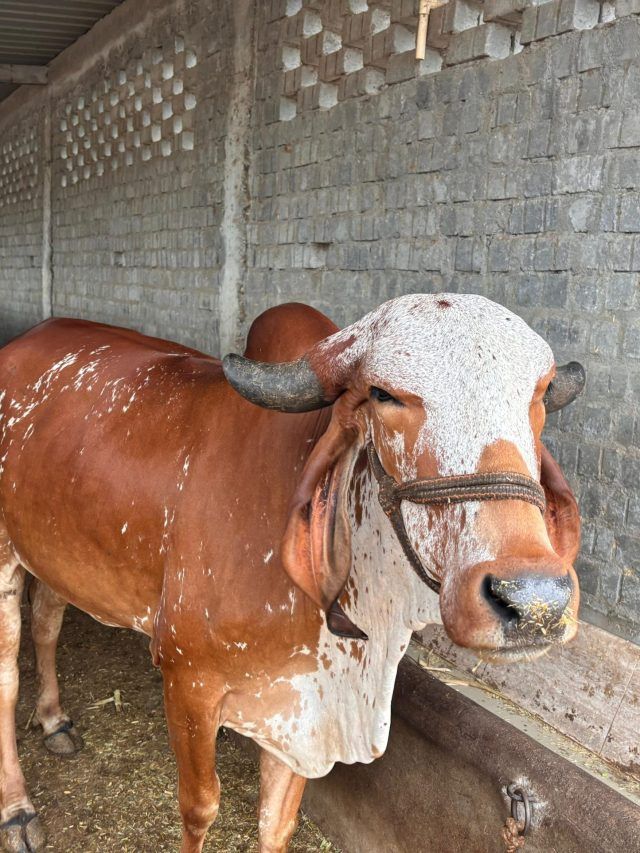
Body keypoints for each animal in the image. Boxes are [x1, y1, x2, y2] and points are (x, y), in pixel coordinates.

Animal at [0, 293, 583, 853]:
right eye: (383, 395)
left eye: (539, 394)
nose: (533, 600)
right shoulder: (188, 681)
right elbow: (198, 809)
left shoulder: (301, 708)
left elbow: (276, 823)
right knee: (8, 677)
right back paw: (19, 812)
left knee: (48, 621)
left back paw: (54, 721)